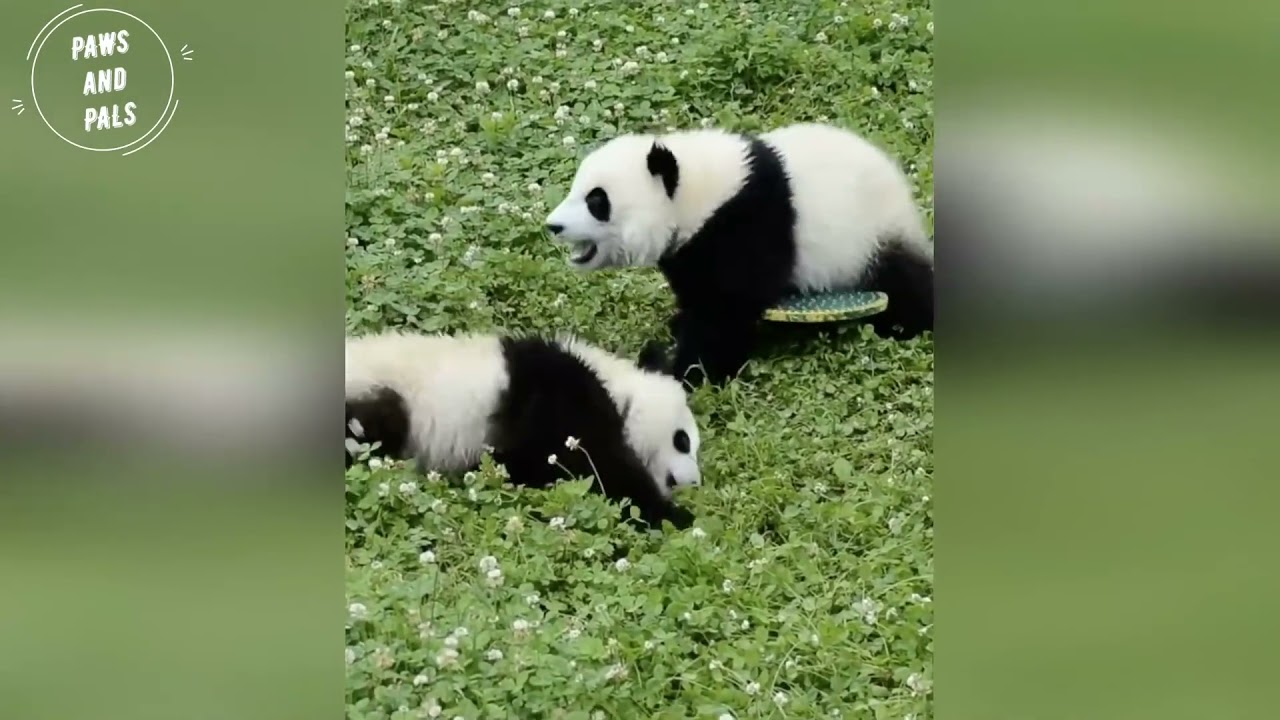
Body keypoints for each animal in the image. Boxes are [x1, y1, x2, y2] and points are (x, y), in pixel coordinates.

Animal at [344, 329, 702, 530]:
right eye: (683, 441)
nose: (695, 483)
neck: (616, 388)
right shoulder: (558, 407)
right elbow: (601, 473)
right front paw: (676, 516)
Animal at [543, 121, 934, 387]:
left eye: (596, 201)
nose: (553, 225)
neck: (695, 191)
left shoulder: (744, 223)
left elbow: (724, 313)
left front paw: (679, 369)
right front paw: (677, 328)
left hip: (870, 237)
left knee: (904, 284)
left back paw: (904, 323)